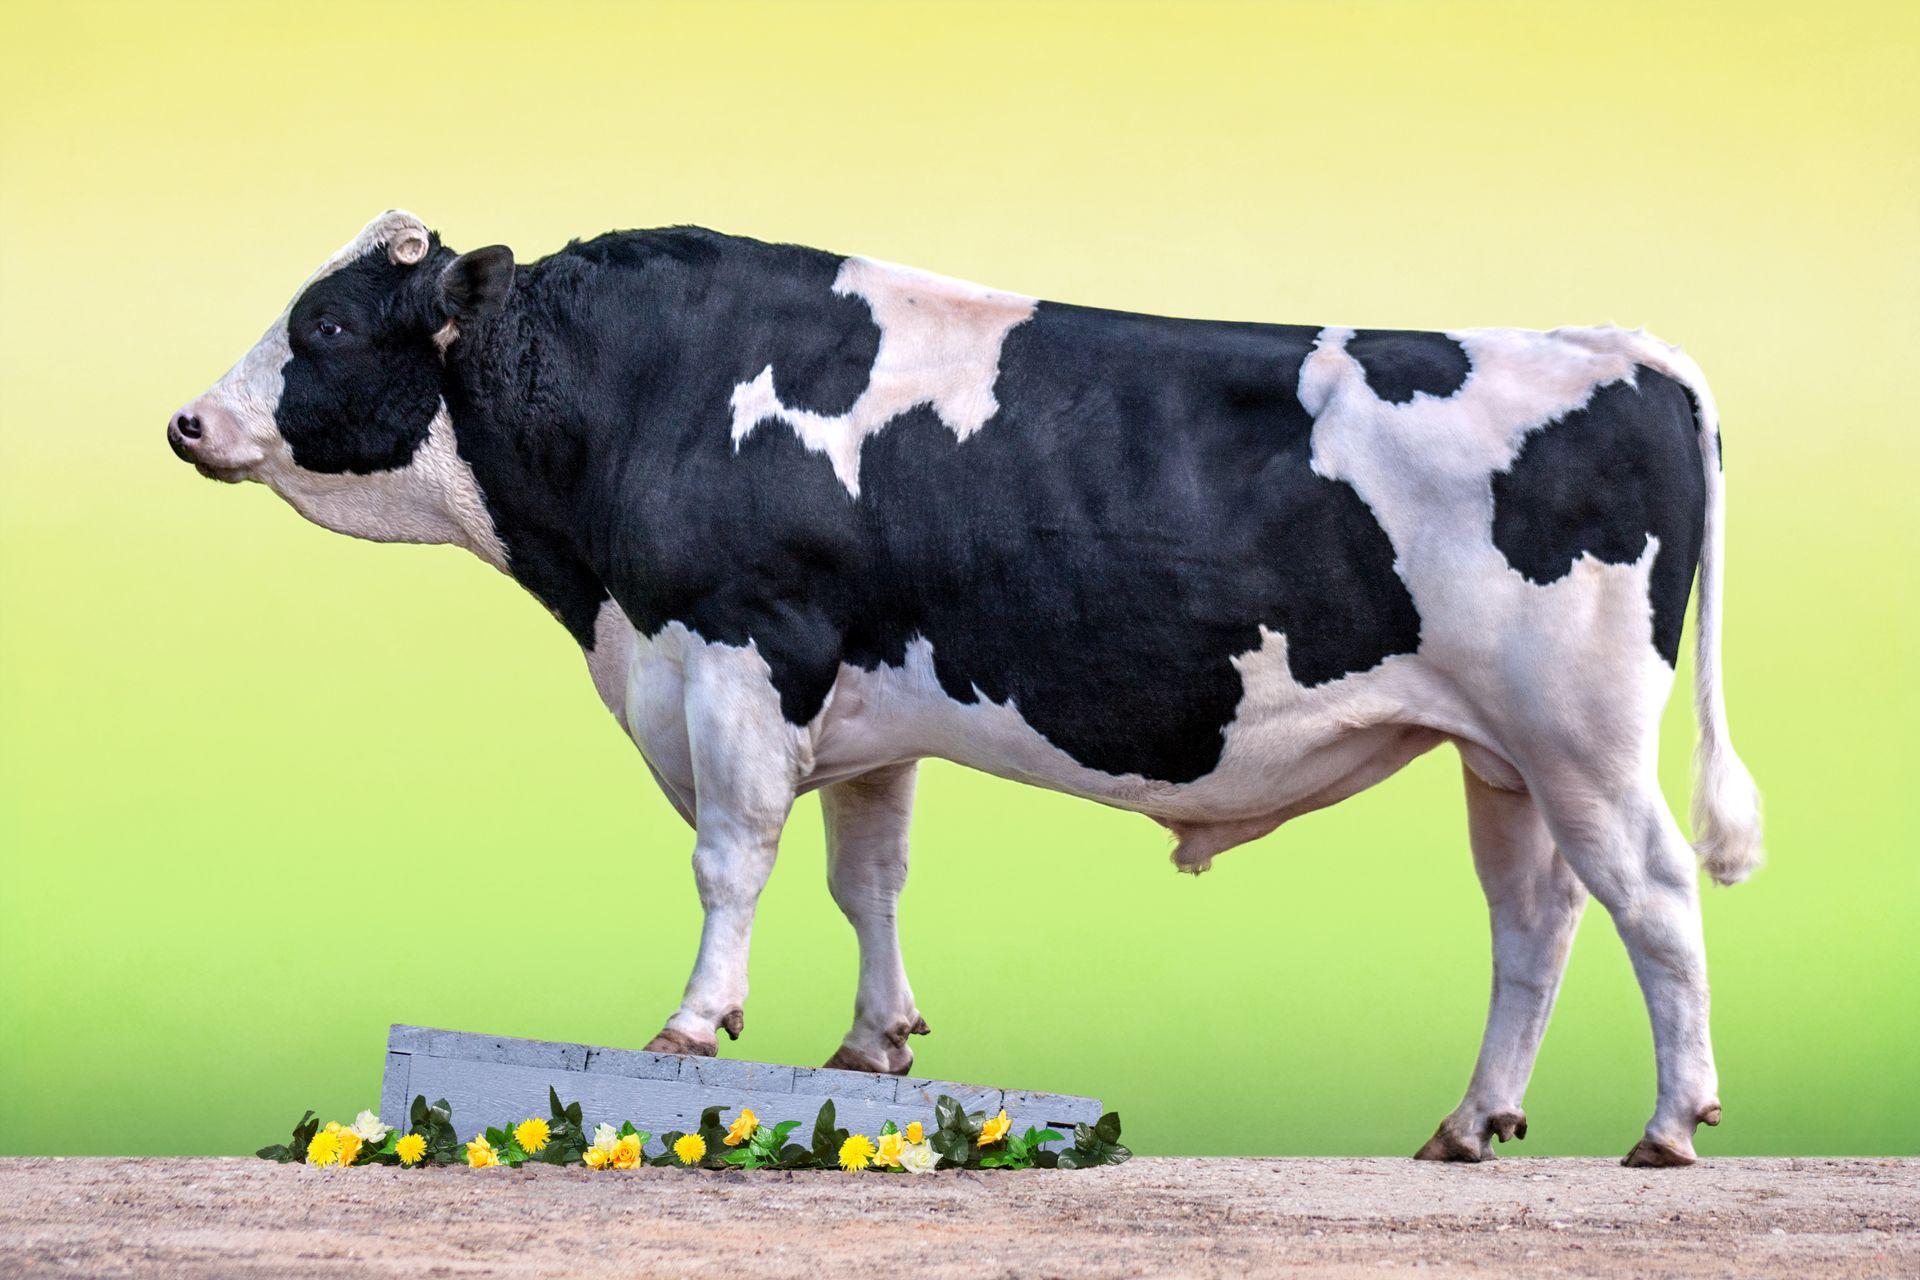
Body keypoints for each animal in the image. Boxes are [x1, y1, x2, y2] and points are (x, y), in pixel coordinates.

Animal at [169, 210, 1761, 1167]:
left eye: (322, 329)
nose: (189, 421)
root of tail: (1618, 346)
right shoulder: (862, 704)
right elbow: (865, 877)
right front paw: (872, 1043)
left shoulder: (740, 655)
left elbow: (732, 859)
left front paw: (692, 1022)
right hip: (1506, 756)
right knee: (1535, 924)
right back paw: (1473, 1121)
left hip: (1583, 736)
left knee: (1655, 895)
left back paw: (1675, 1122)